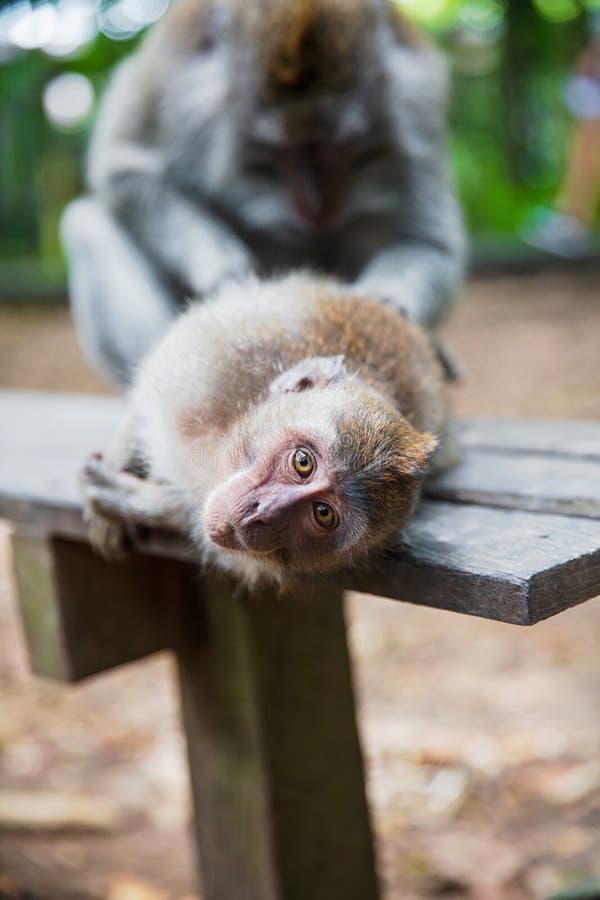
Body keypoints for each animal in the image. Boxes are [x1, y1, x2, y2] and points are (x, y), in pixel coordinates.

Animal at [61, 0, 466, 388]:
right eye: (278, 152)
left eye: (339, 149)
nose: (314, 208)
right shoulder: (172, 85)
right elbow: (124, 167)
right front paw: (227, 277)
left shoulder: (416, 108)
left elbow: (426, 241)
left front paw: (382, 305)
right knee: (87, 222)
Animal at [82, 272, 453, 586]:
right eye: (303, 462)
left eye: (323, 514)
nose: (260, 512)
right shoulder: (217, 364)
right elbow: (147, 398)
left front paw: (143, 504)